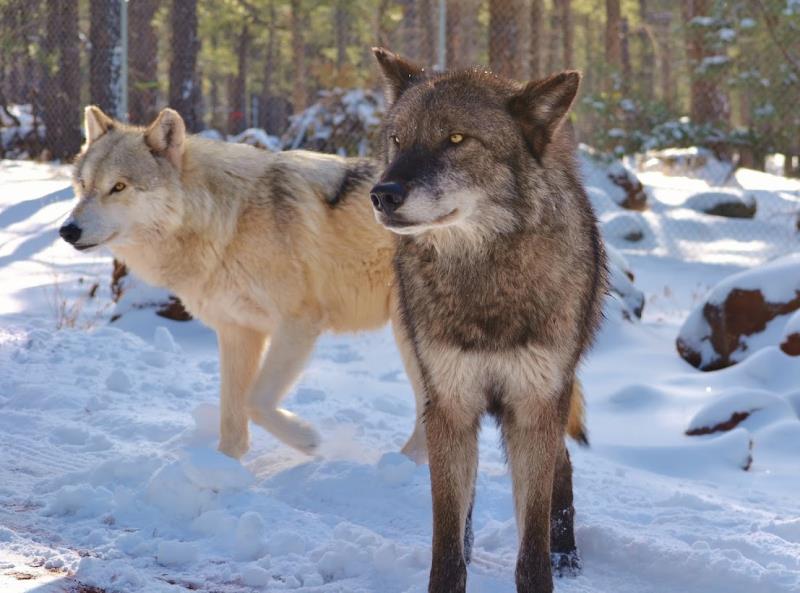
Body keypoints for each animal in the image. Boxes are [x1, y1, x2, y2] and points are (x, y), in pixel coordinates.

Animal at [371, 48, 607, 593]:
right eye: (397, 140)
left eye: (456, 139)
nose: (382, 194)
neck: (484, 282)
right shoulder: (450, 405)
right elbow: (445, 540)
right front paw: (456, 559)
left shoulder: (536, 406)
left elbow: (531, 548)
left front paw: (549, 562)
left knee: (562, 468)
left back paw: (566, 553)